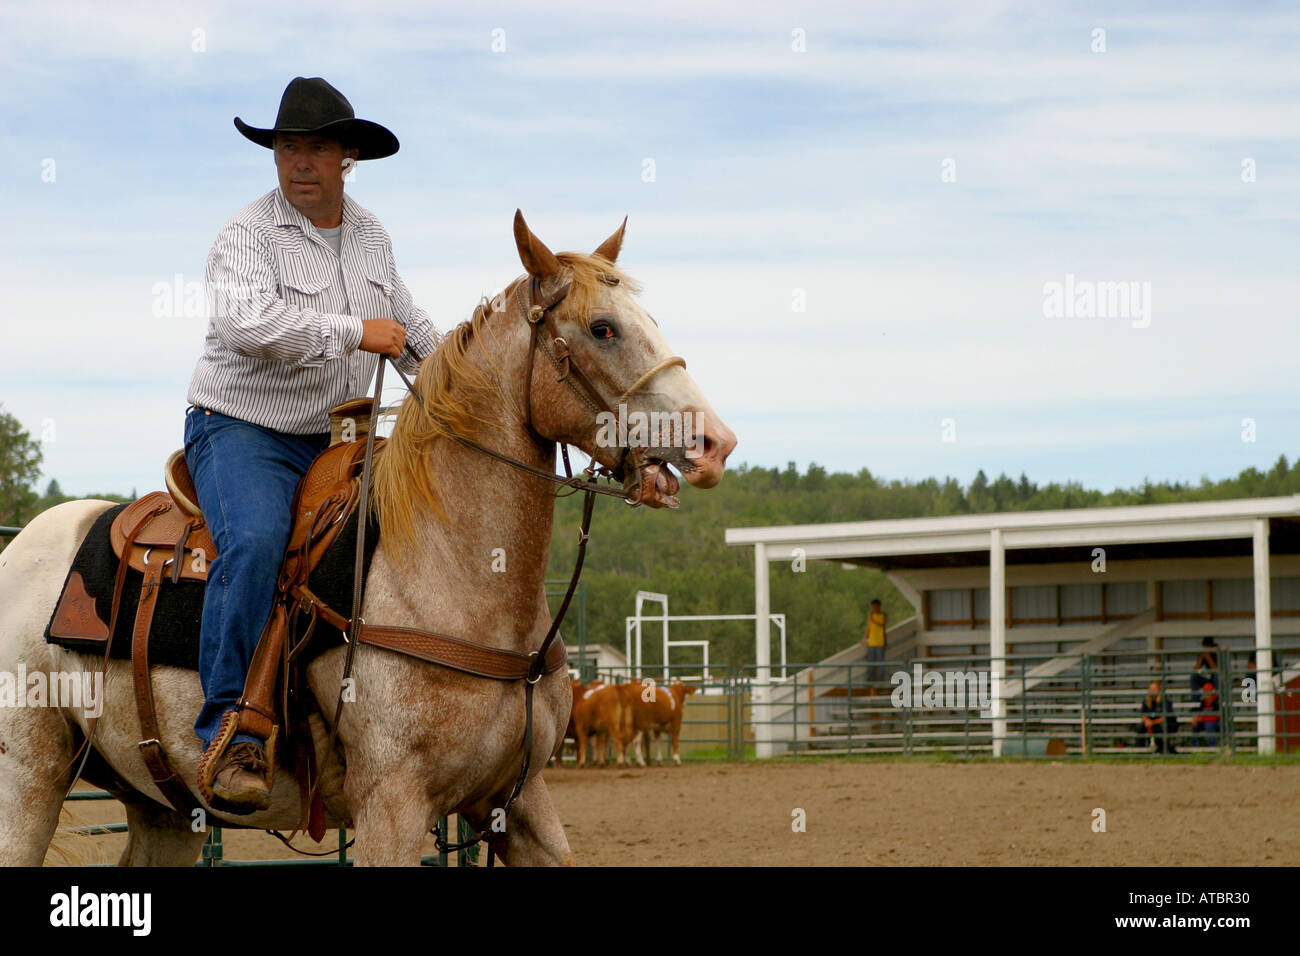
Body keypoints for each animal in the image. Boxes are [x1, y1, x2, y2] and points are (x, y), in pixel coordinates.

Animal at [0, 211, 736, 866]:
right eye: (602, 328)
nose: (715, 443)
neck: (450, 574)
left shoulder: (519, 799)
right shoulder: (392, 805)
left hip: (166, 808)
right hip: (27, 783)